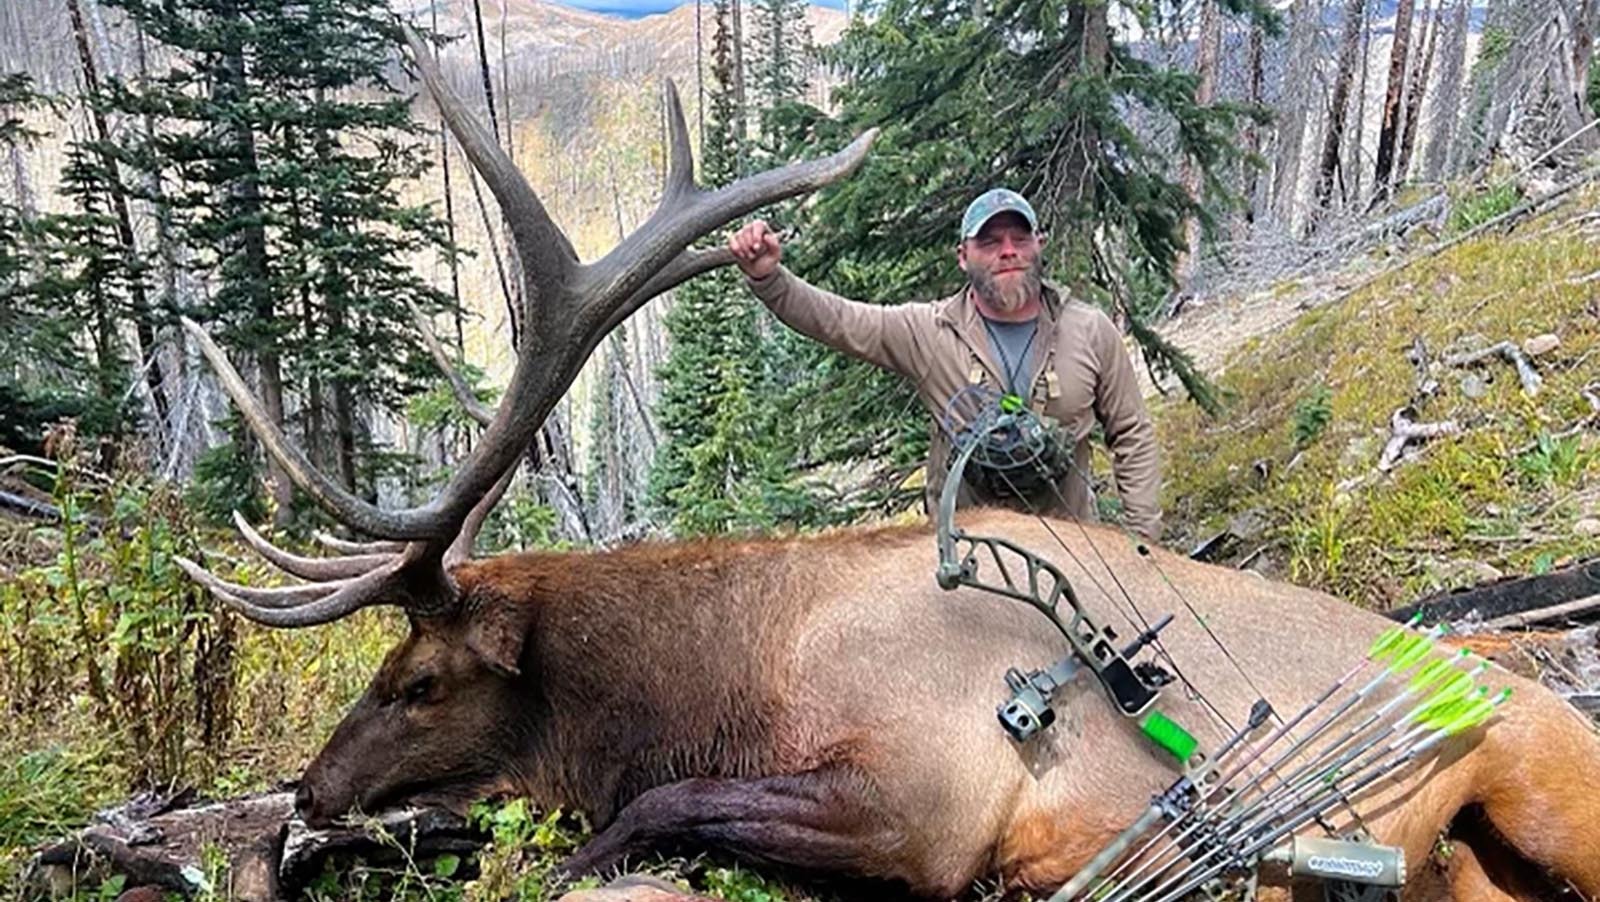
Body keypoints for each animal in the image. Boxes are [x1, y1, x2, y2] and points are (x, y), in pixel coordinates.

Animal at [172, 27, 1600, 902]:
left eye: (415, 680)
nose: (308, 785)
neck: (724, 674)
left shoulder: (918, 800)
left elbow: (644, 811)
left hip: (1544, 776)